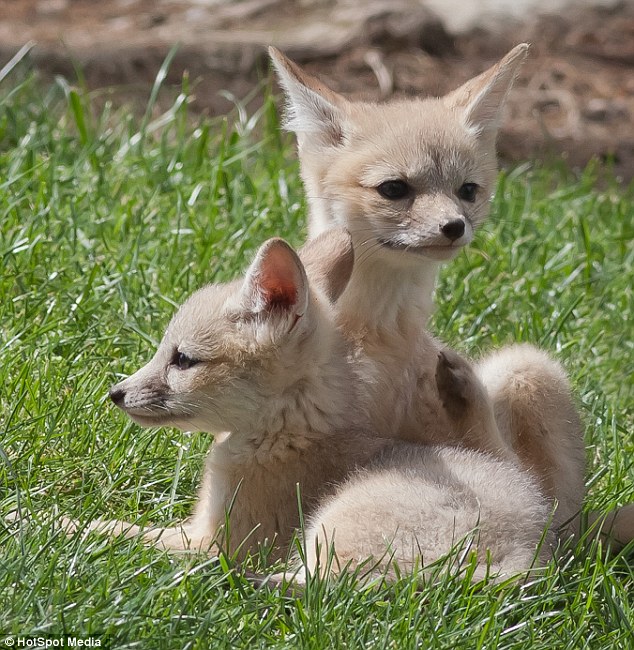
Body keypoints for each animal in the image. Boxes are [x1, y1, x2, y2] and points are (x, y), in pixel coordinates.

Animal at [60, 230, 553, 580]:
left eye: (182, 359)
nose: (116, 393)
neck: (288, 432)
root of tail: (522, 555)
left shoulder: (218, 542)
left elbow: (115, 533)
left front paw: (48, 520)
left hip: (330, 527)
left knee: (322, 586)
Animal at [269, 45, 634, 545]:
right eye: (394, 189)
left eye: (467, 191)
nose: (454, 226)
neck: (376, 344)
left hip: (527, 368)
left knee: (546, 507)